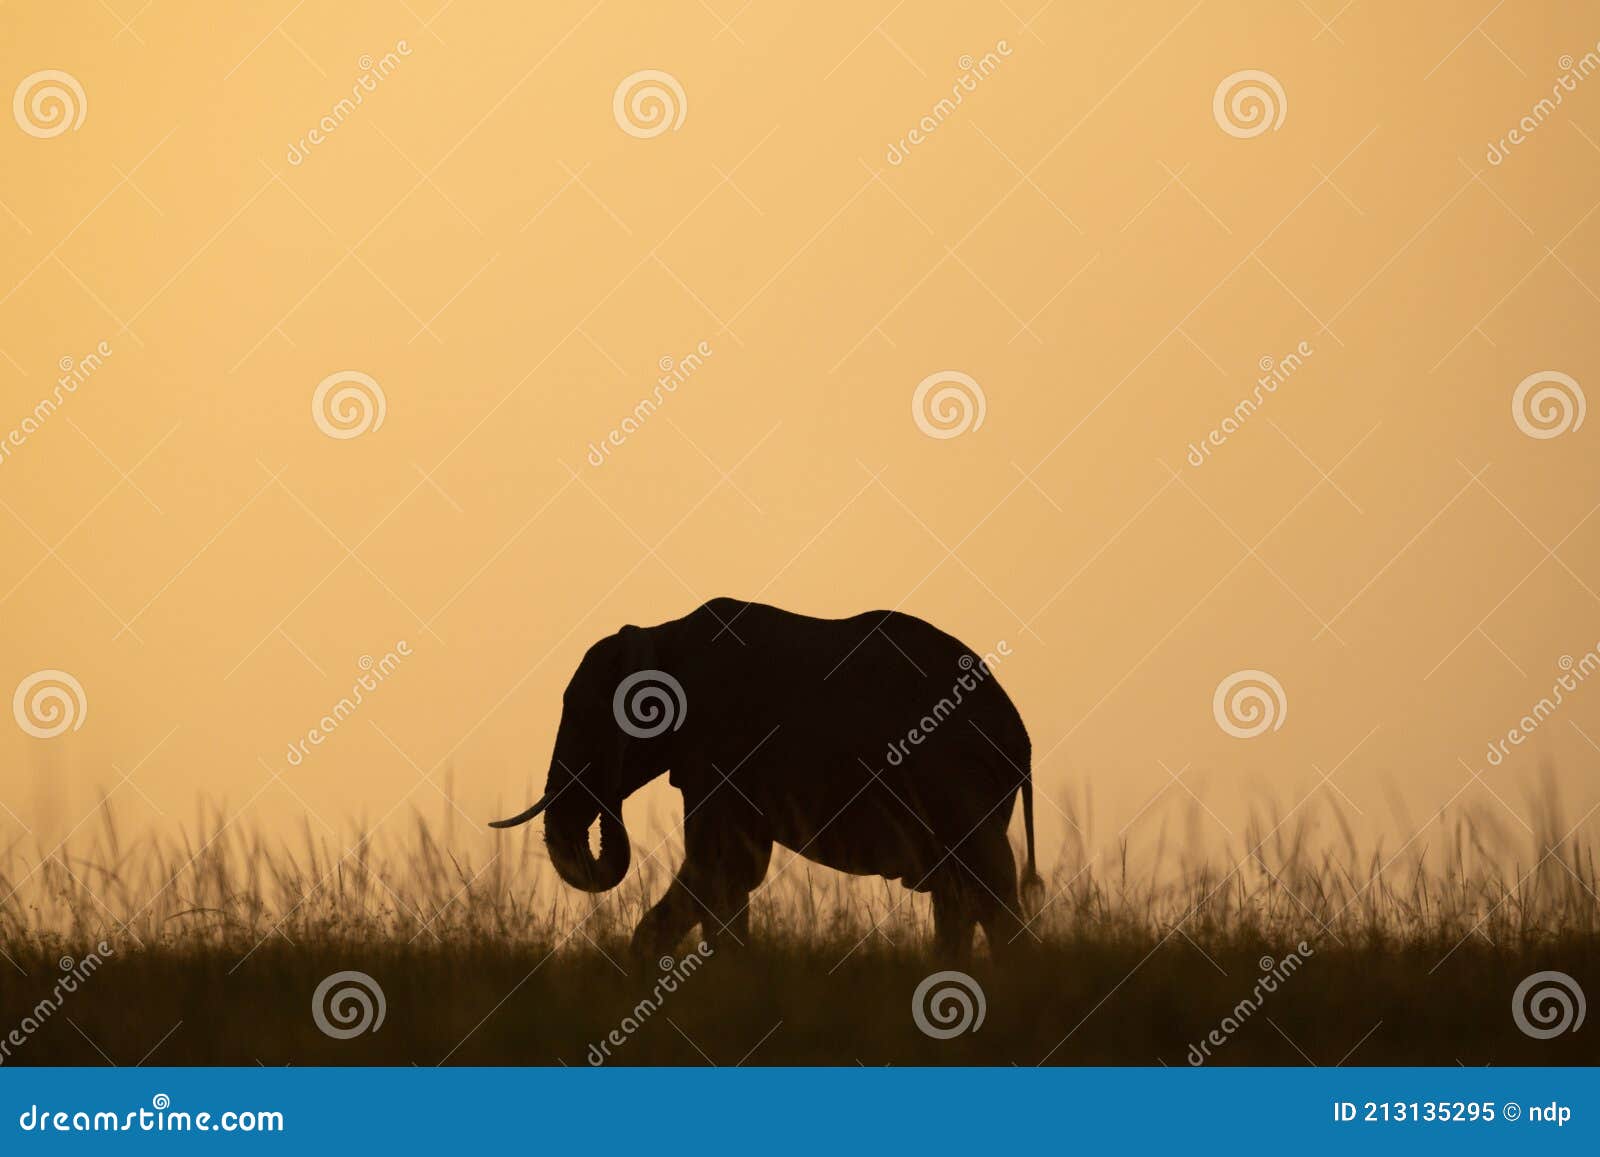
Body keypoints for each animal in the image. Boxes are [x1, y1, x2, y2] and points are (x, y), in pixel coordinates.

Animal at [490, 598, 1040, 961]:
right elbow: (727, 872)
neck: (664, 635)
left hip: (957, 777)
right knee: (959, 895)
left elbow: (721, 866)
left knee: (986, 887)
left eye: (585, 719)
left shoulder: (722, 743)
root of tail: (1021, 735)